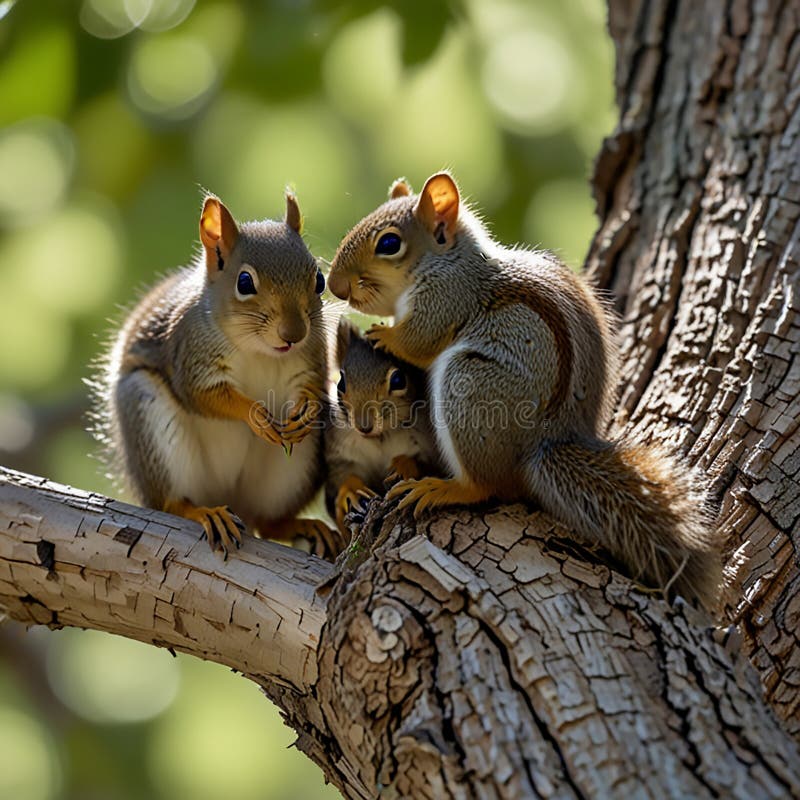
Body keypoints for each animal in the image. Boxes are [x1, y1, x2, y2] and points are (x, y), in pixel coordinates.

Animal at [92, 192, 343, 559]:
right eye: (244, 282)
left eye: (320, 280)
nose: (294, 334)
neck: (259, 350)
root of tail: (232, 501)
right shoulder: (190, 352)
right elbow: (202, 396)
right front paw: (255, 416)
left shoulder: (310, 358)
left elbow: (314, 387)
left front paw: (308, 409)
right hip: (149, 423)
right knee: (171, 503)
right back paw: (203, 513)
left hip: (294, 471)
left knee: (268, 522)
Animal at [325, 318, 440, 534]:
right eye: (341, 383)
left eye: (398, 379)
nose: (364, 426)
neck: (380, 437)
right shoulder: (340, 455)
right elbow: (342, 479)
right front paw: (351, 490)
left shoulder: (429, 448)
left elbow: (426, 467)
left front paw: (403, 466)